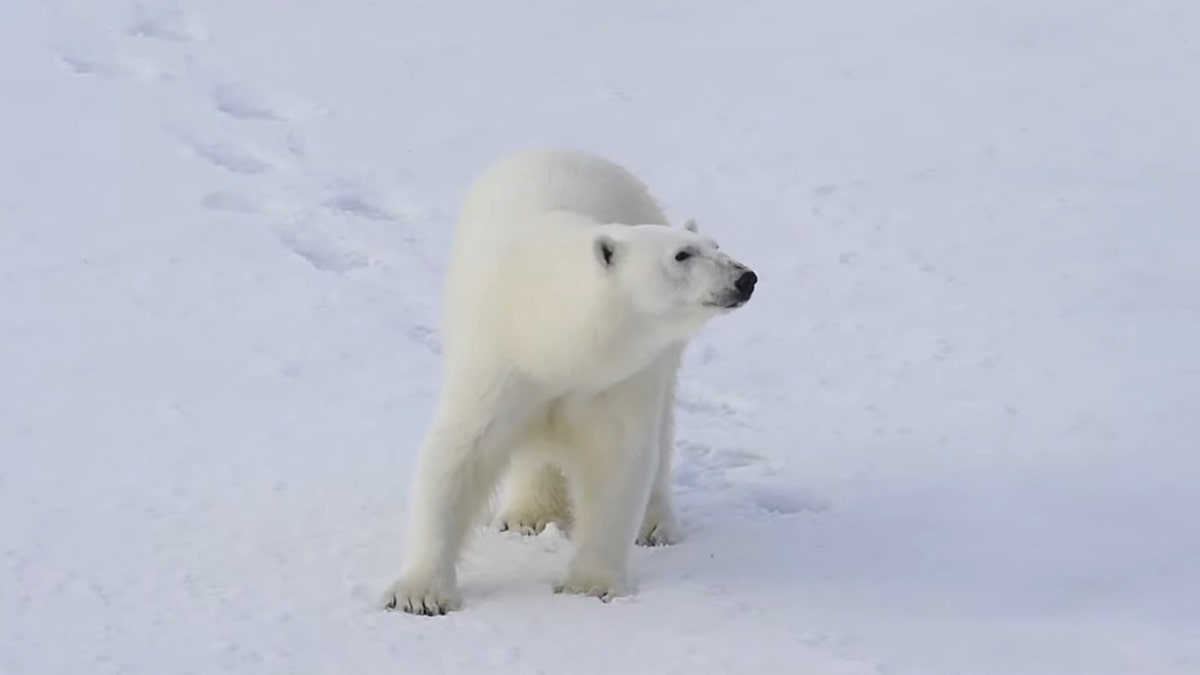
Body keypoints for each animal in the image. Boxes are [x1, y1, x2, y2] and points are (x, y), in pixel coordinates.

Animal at [382, 147, 757, 615]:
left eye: (716, 247)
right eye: (681, 255)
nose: (745, 277)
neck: (553, 335)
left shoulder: (622, 378)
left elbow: (618, 458)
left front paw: (590, 584)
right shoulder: (499, 359)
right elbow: (460, 451)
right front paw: (418, 593)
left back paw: (655, 525)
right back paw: (528, 515)